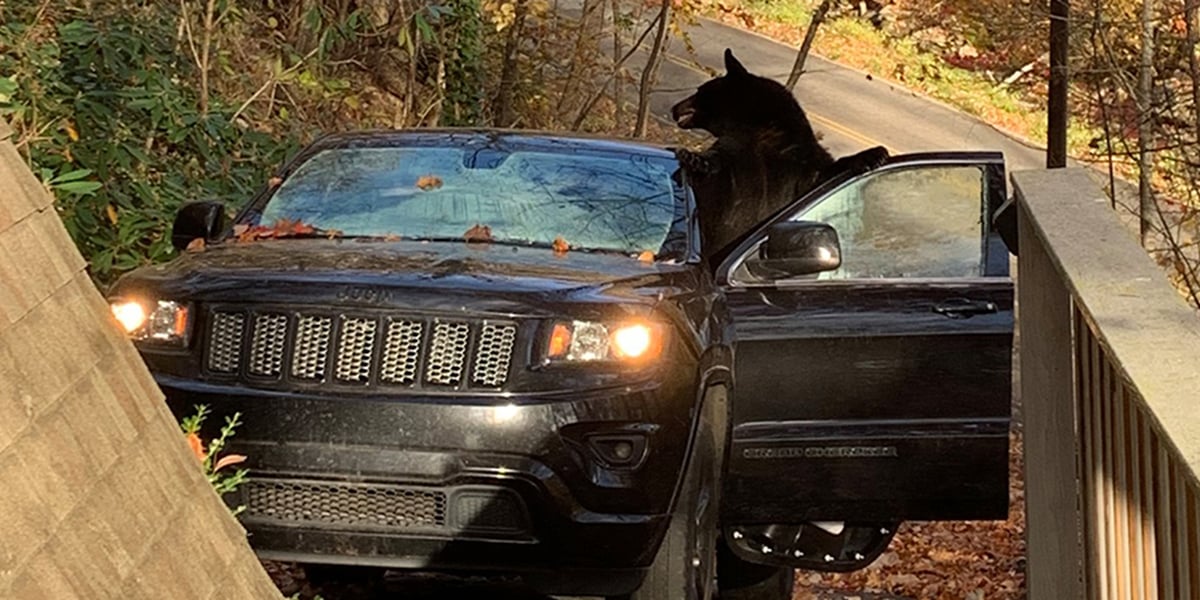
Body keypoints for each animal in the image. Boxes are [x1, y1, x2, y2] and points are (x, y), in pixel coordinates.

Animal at [671, 49, 890, 266]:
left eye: (699, 90)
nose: (674, 108)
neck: (764, 132)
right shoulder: (735, 149)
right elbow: (718, 162)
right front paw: (694, 160)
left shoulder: (800, 162)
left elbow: (819, 178)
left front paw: (872, 155)